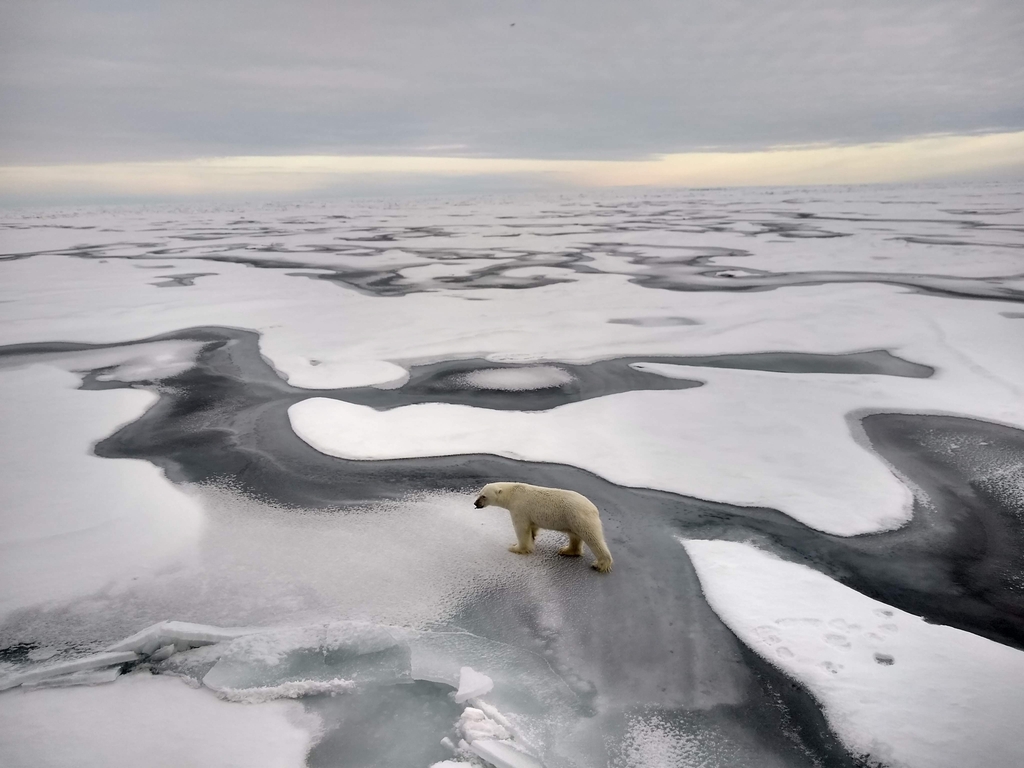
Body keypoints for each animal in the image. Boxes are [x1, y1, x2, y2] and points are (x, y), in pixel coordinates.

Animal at [473, 482, 614, 573]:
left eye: (484, 496)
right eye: (479, 493)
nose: (475, 503)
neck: (513, 493)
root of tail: (594, 509)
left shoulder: (519, 508)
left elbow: (522, 529)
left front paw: (516, 548)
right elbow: (533, 526)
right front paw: (533, 536)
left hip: (580, 518)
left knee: (593, 538)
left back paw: (600, 564)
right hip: (572, 520)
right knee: (574, 536)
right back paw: (567, 550)